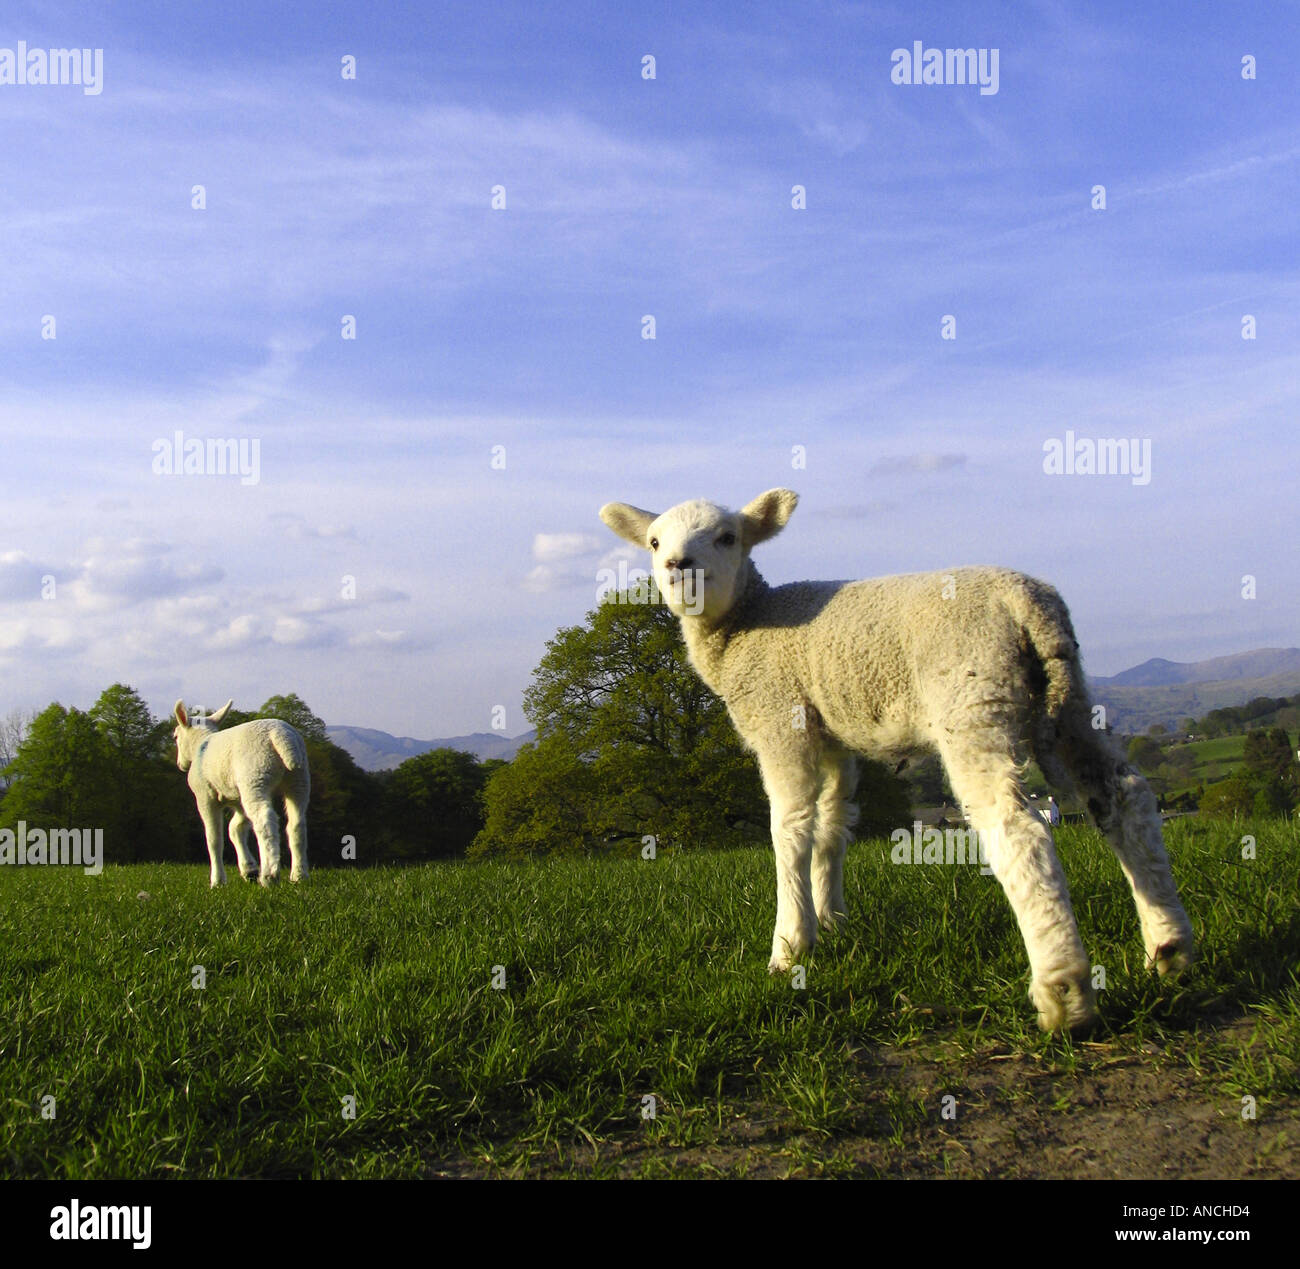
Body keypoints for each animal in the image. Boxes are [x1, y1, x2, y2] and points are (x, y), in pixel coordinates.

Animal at [172, 700, 310, 887]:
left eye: (175, 737)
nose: (180, 764)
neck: (200, 745)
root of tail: (281, 737)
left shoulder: (205, 797)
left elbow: (214, 839)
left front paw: (217, 881)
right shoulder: (238, 799)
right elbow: (235, 828)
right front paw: (249, 869)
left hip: (254, 776)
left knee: (265, 820)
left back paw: (269, 876)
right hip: (298, 779)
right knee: (297, 823)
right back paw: (298, 875)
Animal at [599, 488, 1195, 1033]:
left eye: (727, 537)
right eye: (654, 542)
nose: (677, 567)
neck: (743, 626)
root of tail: (1028, 602)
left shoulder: (779, 718)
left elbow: (789, 830)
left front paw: (789, 948)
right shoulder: (831, 734)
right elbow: (832, 826)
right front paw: (832, 921)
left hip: (973, 696)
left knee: (1017, 826)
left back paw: (1064, 996)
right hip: (1069, 697)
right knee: (1124, 798)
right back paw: (1167, 950)